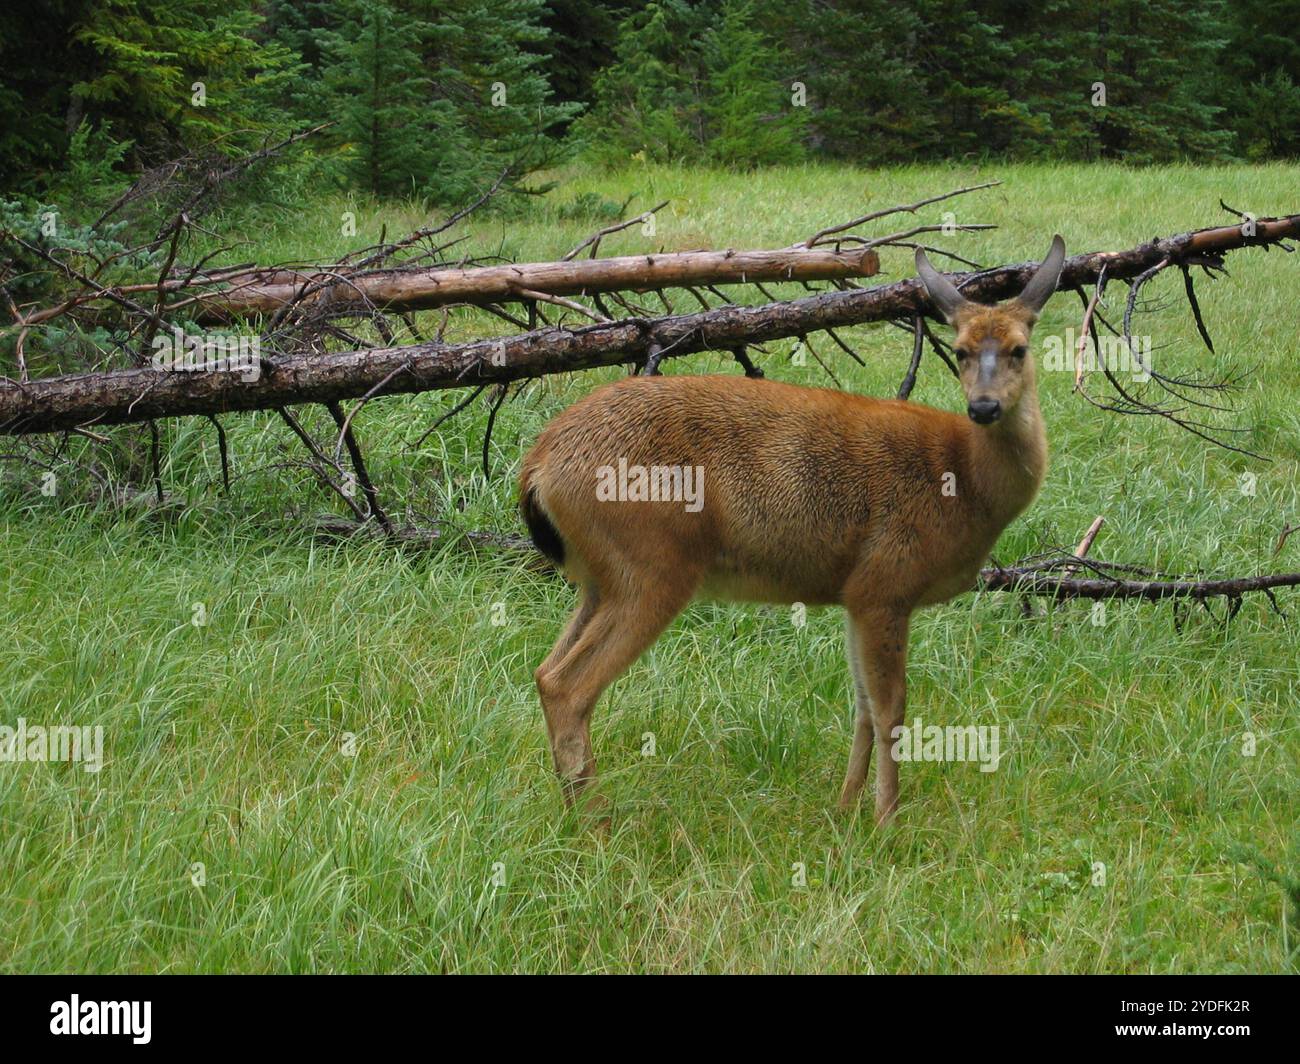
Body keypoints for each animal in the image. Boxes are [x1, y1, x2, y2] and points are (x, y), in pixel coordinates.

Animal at [518, 236, 1066, 825]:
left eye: (1019, 349)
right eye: (959, 350)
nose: (983, 406)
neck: (965, 480)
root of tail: (540, 464)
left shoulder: (856, 594)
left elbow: (863, 706)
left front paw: (845, 809)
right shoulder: (885, 583)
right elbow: (892, 708)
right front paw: (886, 820)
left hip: (601, 578)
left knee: (546, 672)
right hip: (652, 565)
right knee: (570, 686)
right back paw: (595, 823)